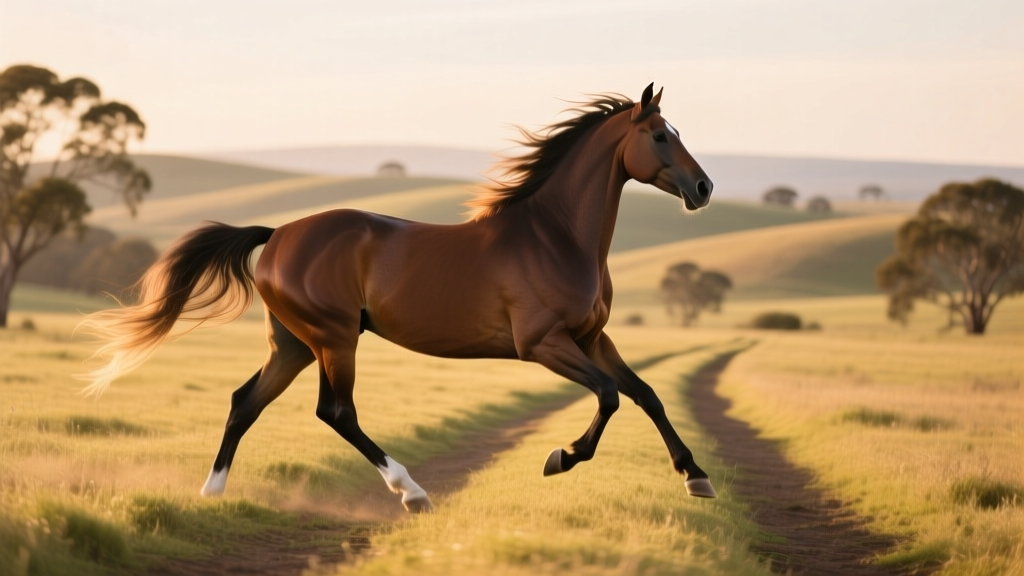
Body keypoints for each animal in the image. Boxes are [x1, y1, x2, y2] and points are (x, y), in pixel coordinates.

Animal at [80, 83, 716, 513]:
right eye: (661, 136)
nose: (704, 187)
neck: (553, 236)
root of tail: (278, 234)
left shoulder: (591, 337)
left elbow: (646, 394)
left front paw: (695, 476)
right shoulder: (542, 344)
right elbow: (609, 395)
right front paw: (559, 458)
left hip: (294, 344)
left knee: (245, 403)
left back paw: (212, 493)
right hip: (334, 338)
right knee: (336, 412)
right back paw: (411, 492)